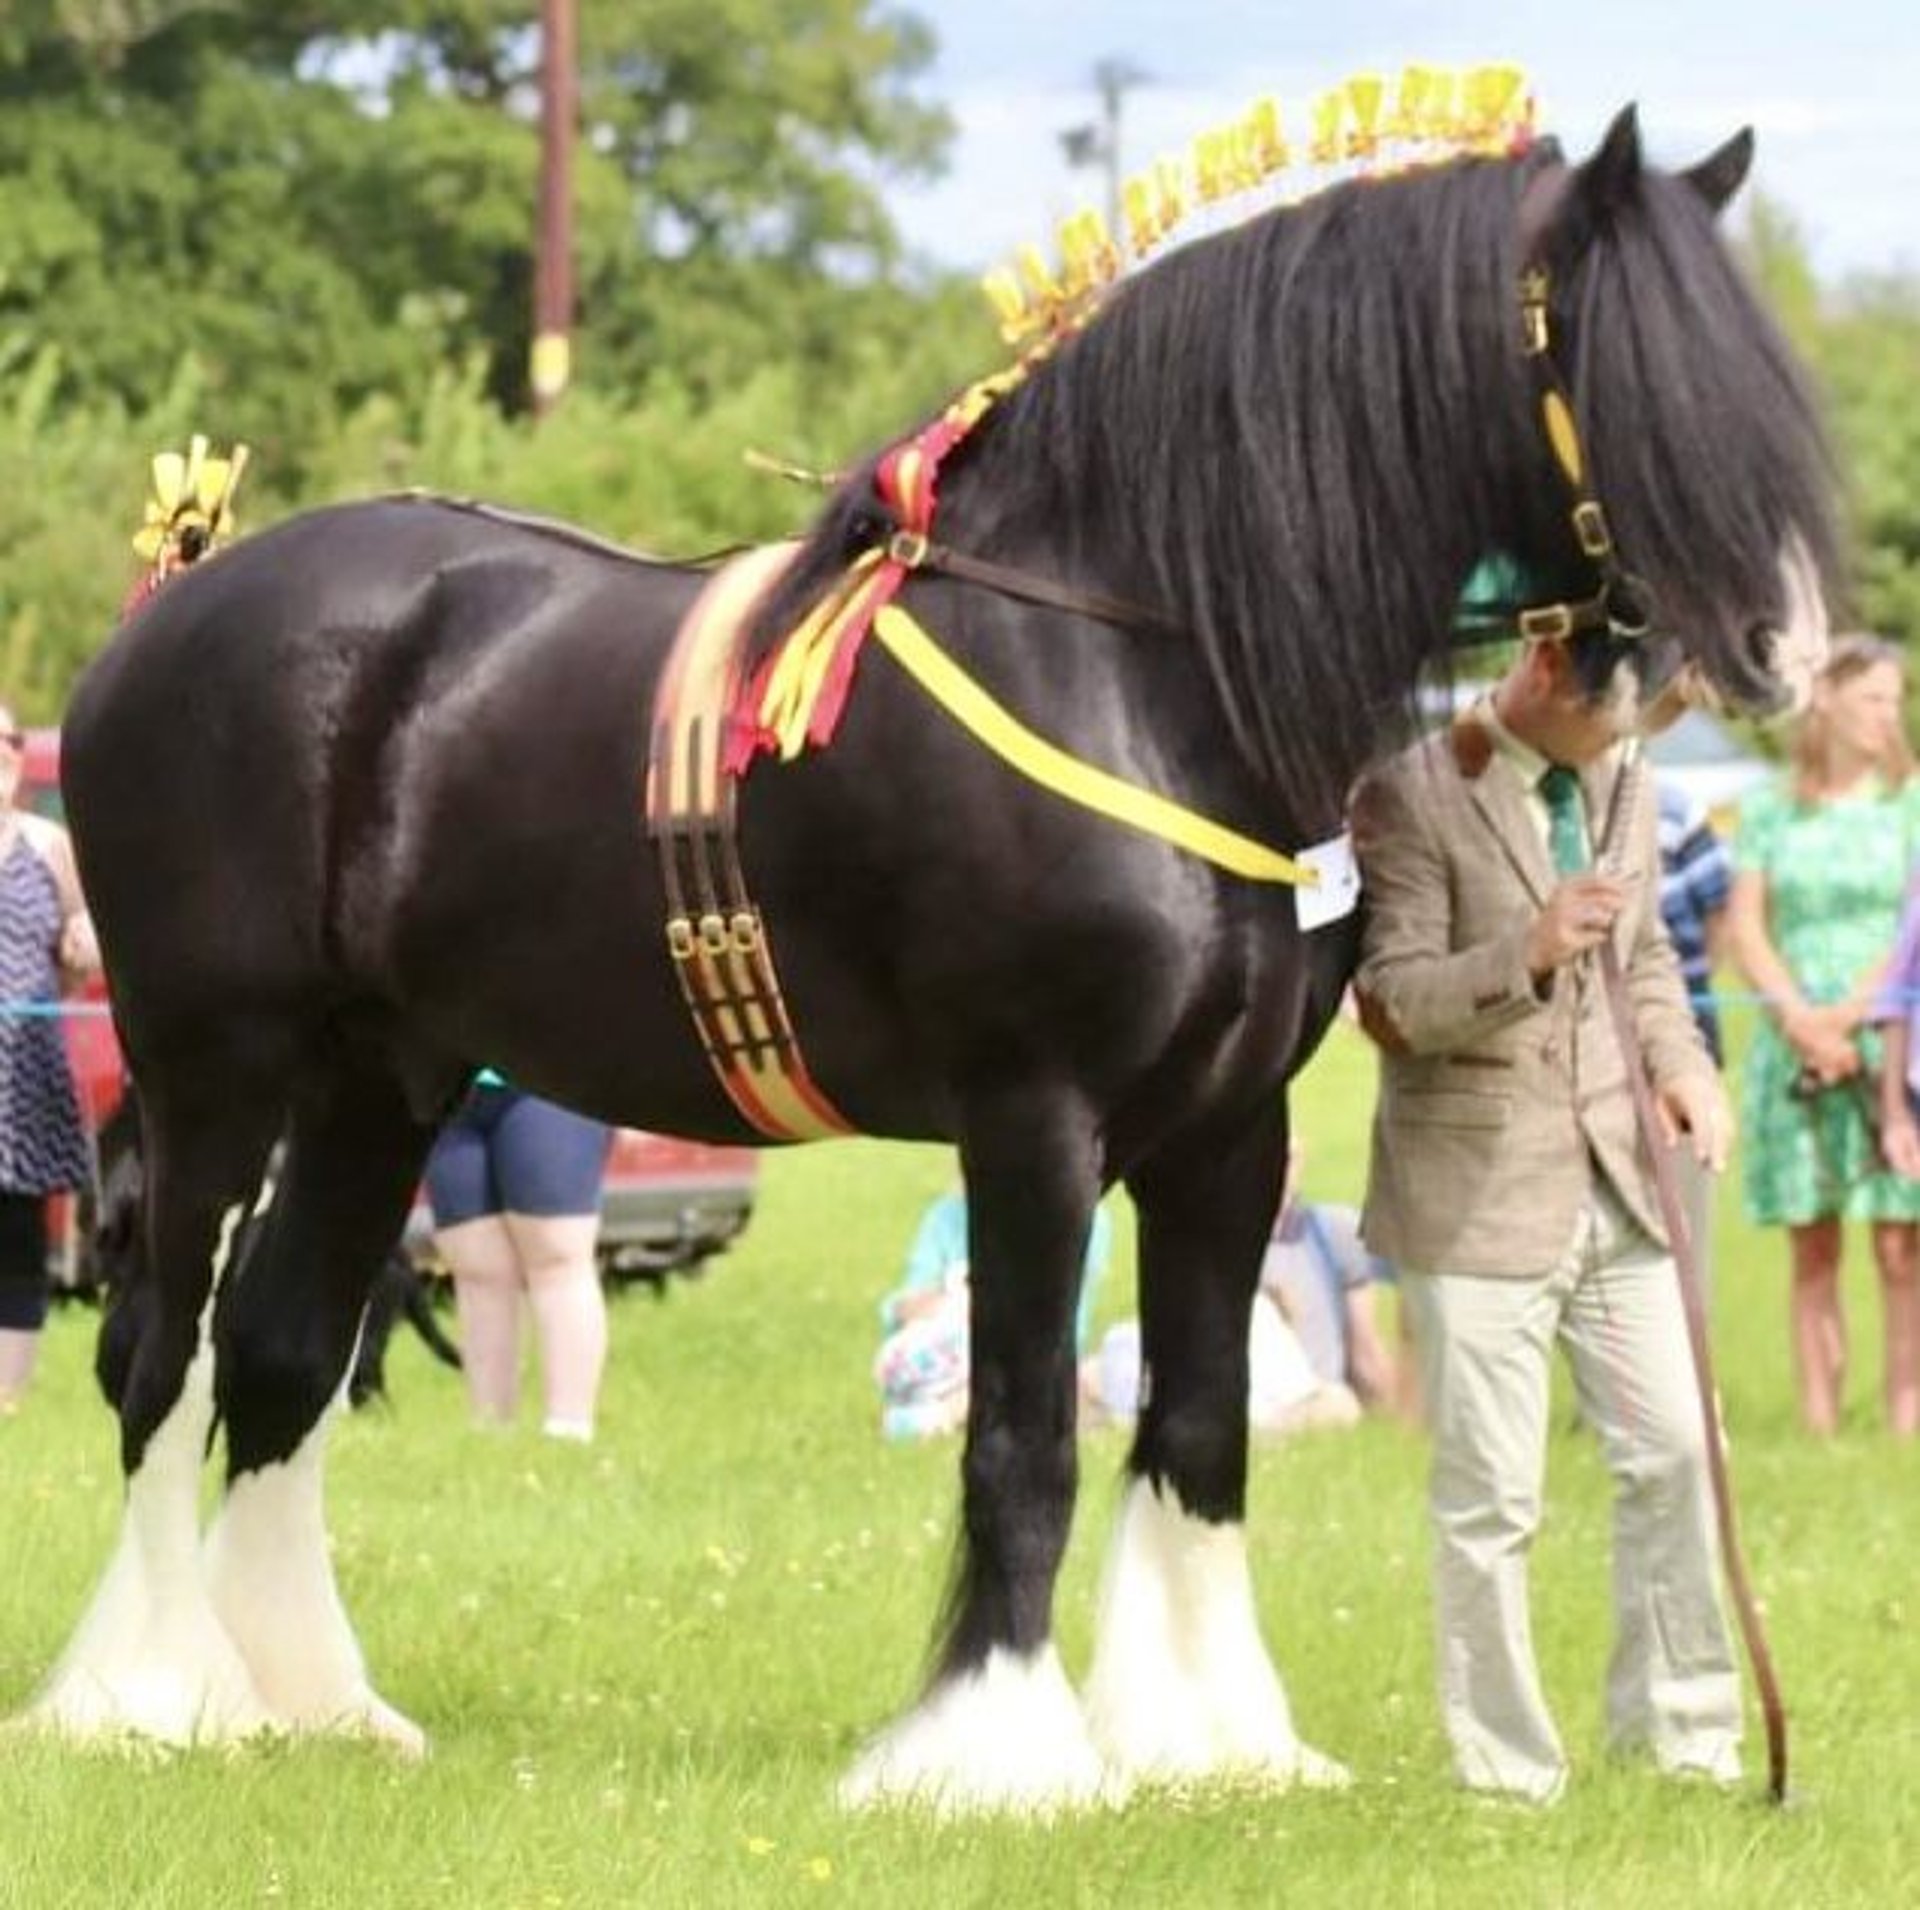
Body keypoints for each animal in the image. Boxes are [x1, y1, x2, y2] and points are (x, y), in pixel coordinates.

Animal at [25, 109, 1838, 1813]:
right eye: (1632, 365)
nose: (1788, 652)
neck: (1124, 655)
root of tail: (165, 615)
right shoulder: (1034, 1121)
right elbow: (1025, 1432)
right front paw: (999, 1752)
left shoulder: (1225, 1136)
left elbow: (1200, 1422)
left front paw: (1214, 1744)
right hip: (213, 1071)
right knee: (163, 1354)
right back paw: (150, 1697)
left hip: (375, 1079)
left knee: (280, 1352)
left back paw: (308, 1704)